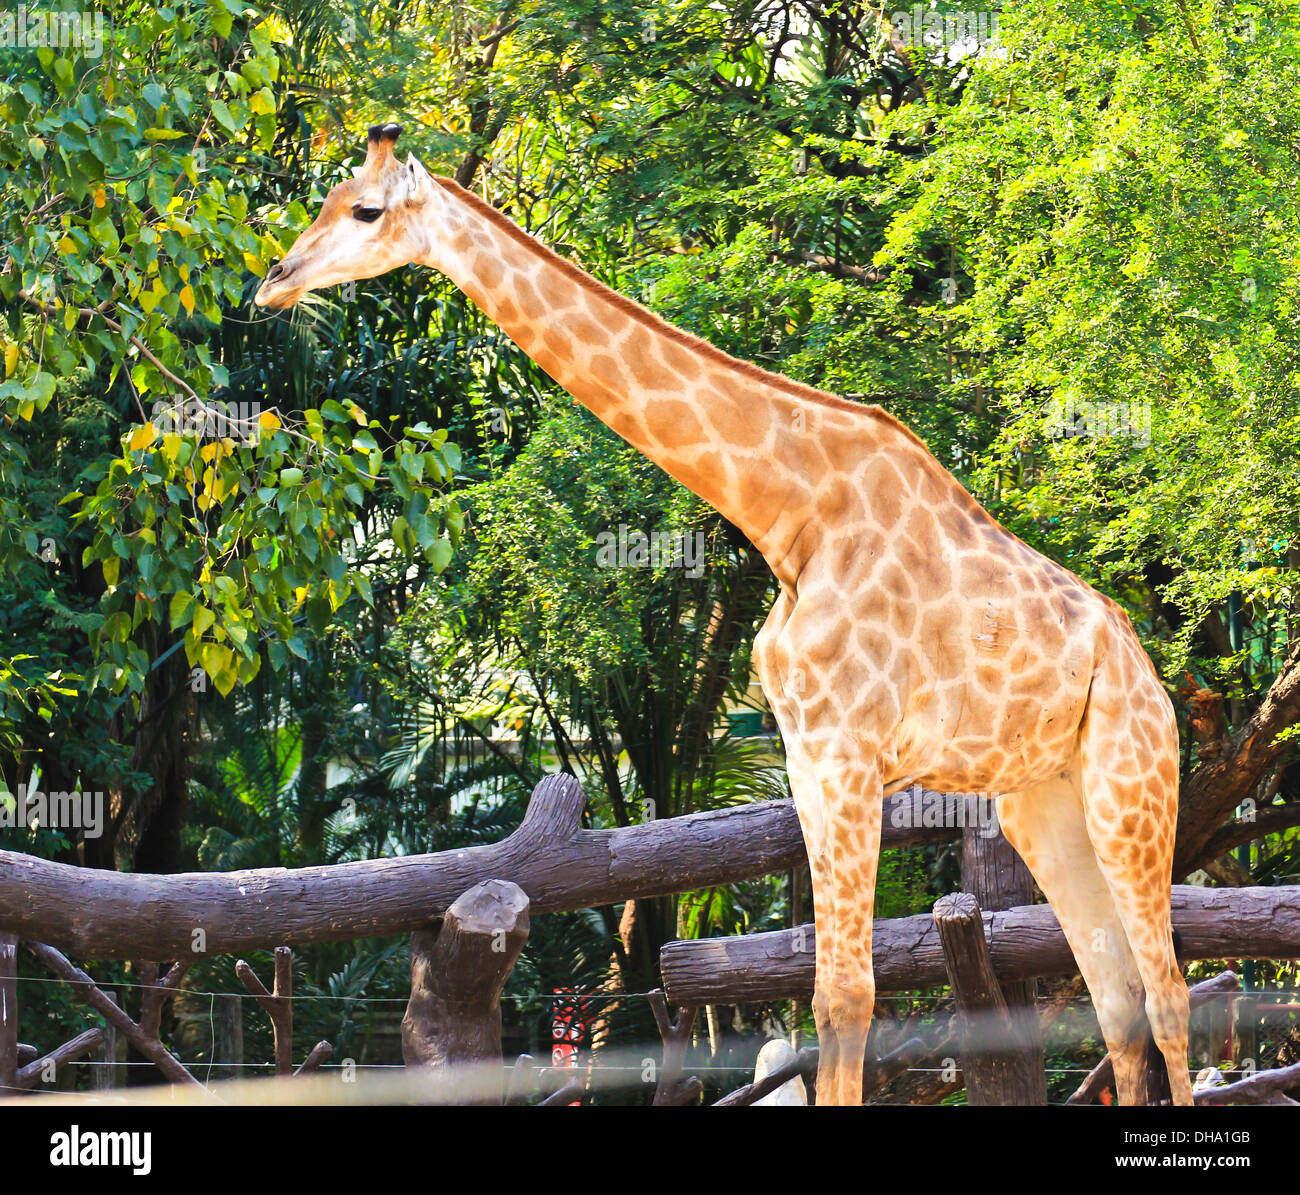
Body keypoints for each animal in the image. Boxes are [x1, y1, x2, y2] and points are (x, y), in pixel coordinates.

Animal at [255, 124, 1192, 1106]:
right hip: (1043, 803)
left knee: (1167, 993)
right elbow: (824, 995)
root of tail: (1147, 670)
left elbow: (849, 994)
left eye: (365, 210)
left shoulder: (848, 753)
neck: (791, 519)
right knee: (1118, 997)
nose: (272, 278)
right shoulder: (809, 758)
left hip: (1131, 784)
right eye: (325, 198)